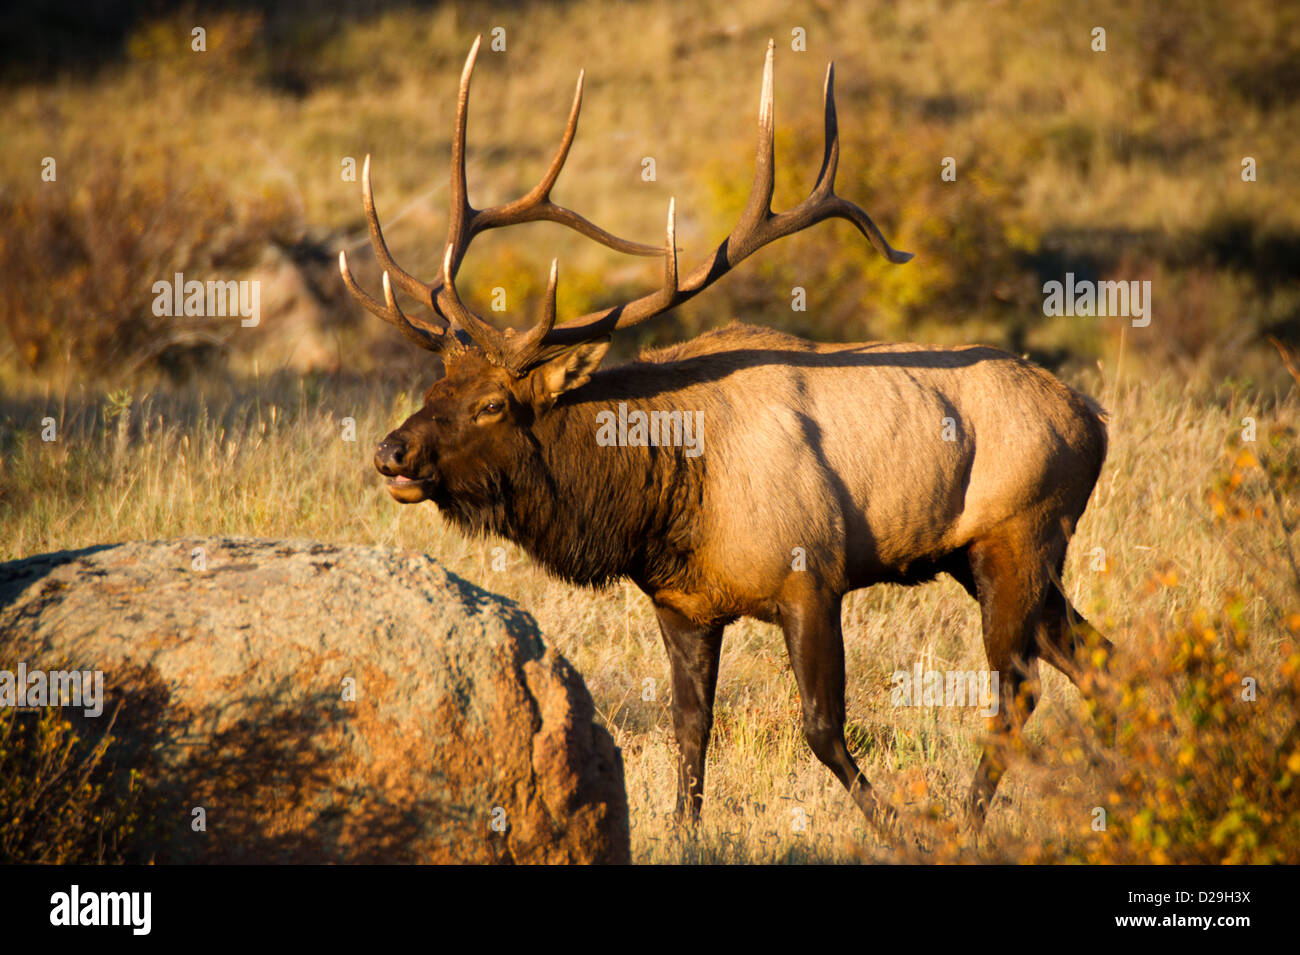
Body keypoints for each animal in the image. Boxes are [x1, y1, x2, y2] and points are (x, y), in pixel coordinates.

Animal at [338, 36, 1114, 833]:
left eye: (494, 402)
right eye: (435, 388)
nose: (391, 451)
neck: (666, 501)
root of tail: (1094, 419)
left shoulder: (811, 574)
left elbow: (821, 727)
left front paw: (895, 824)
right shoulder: (682, 604)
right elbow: (691, 727)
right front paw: (684, 831)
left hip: (1018, 536)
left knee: (1018, 690)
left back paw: (967, 820)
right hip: (985, 556)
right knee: (1096, 657)